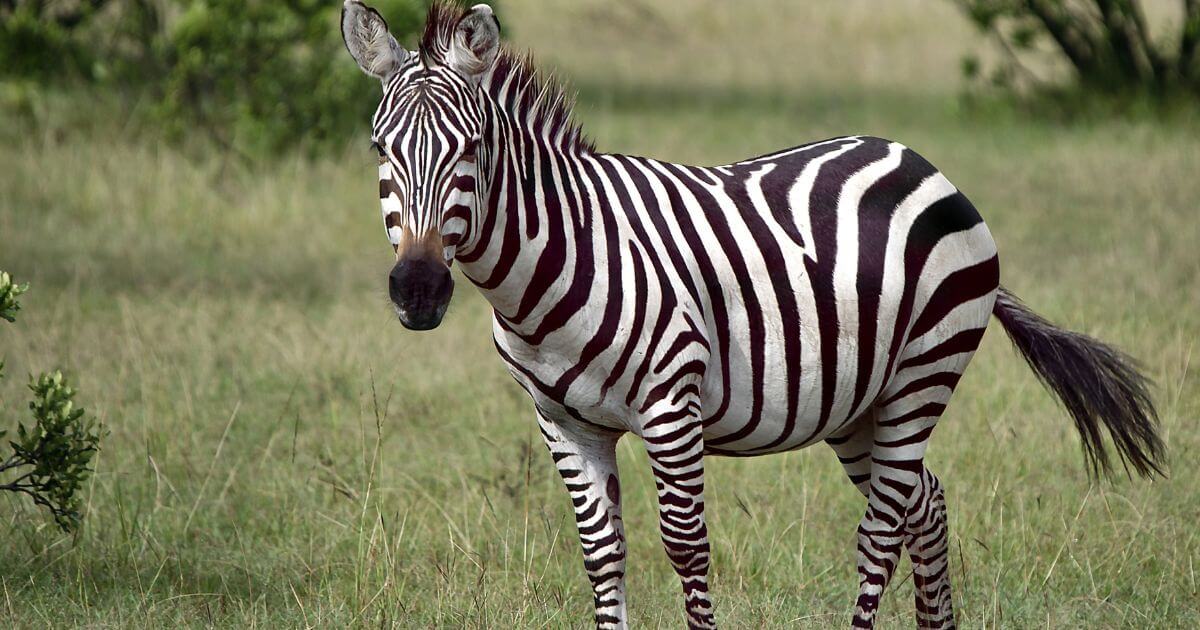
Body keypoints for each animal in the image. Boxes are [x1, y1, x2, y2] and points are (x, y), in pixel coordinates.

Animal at [340, 2, 1165, 628]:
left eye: (473, 147)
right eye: (379, 148)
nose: (419, 289)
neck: (556, 263)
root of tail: (922, 162)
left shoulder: (672, 407)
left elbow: (686, 547)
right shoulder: (563, 422)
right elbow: (602, 554)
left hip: (922, 375)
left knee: (882, 530)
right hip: (858, 402)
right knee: (923, 504)